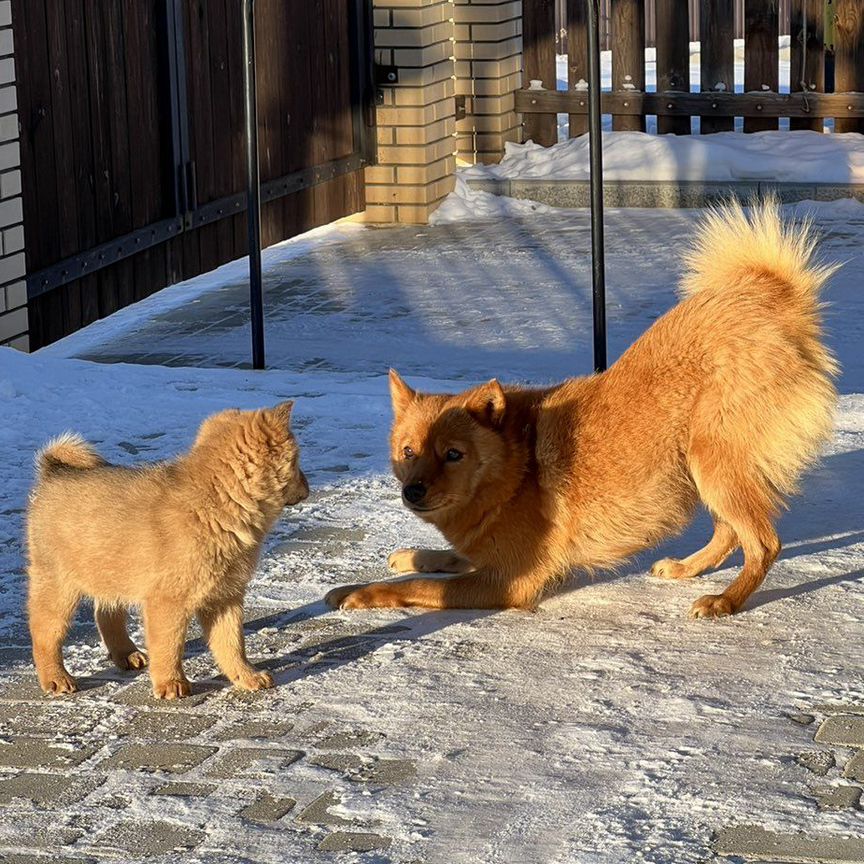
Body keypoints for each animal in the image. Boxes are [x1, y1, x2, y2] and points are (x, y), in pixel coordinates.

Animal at [27, 402, 308, 700]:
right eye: (297, 461)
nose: (308, 486)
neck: (218, 501)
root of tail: (53, 473)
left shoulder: (226, 597)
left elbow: (232, 644)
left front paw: (246, 676)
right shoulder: (168, 601)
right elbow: (170, 645)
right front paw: (171, 683)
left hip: (109, 568)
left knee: (106, 614)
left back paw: (126, 654)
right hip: (58, 587)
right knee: (44, 634)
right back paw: (56, 678)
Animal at [328, 197, 840, 616]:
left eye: (453, 454)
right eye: (409, 451)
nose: (413, 492)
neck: (516, 467)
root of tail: (773, 307)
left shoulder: (506, 581)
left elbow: (418, 587)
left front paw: (361, 592)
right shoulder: (486, 555)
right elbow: (444, 558)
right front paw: (410, 555)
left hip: (710, 458)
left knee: (763, 542)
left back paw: (726, 600)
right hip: (707, 469)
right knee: (732, 531)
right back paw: (688, 569)